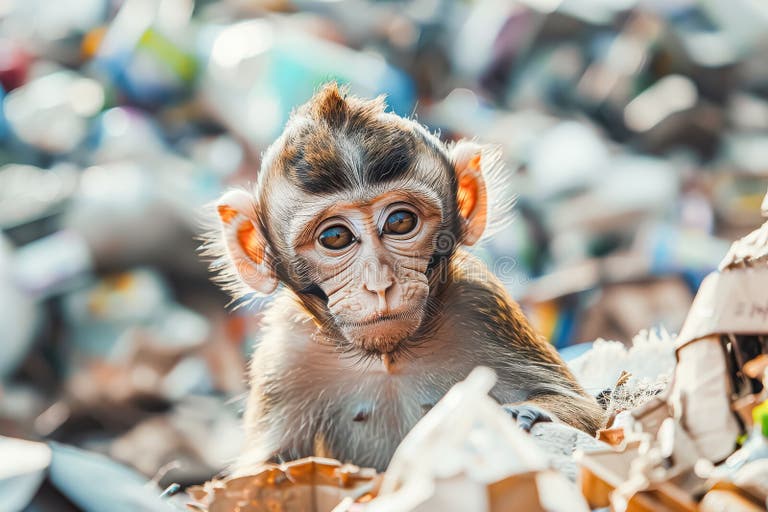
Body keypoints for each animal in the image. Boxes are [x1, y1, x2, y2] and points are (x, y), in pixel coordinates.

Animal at [205, 83, 605, 473]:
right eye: (334, 237)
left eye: (400, 221)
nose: (380, 284)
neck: (390, 357)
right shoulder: (285, 353)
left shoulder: (481, 303)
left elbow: (588, 412)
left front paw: (525, 413)